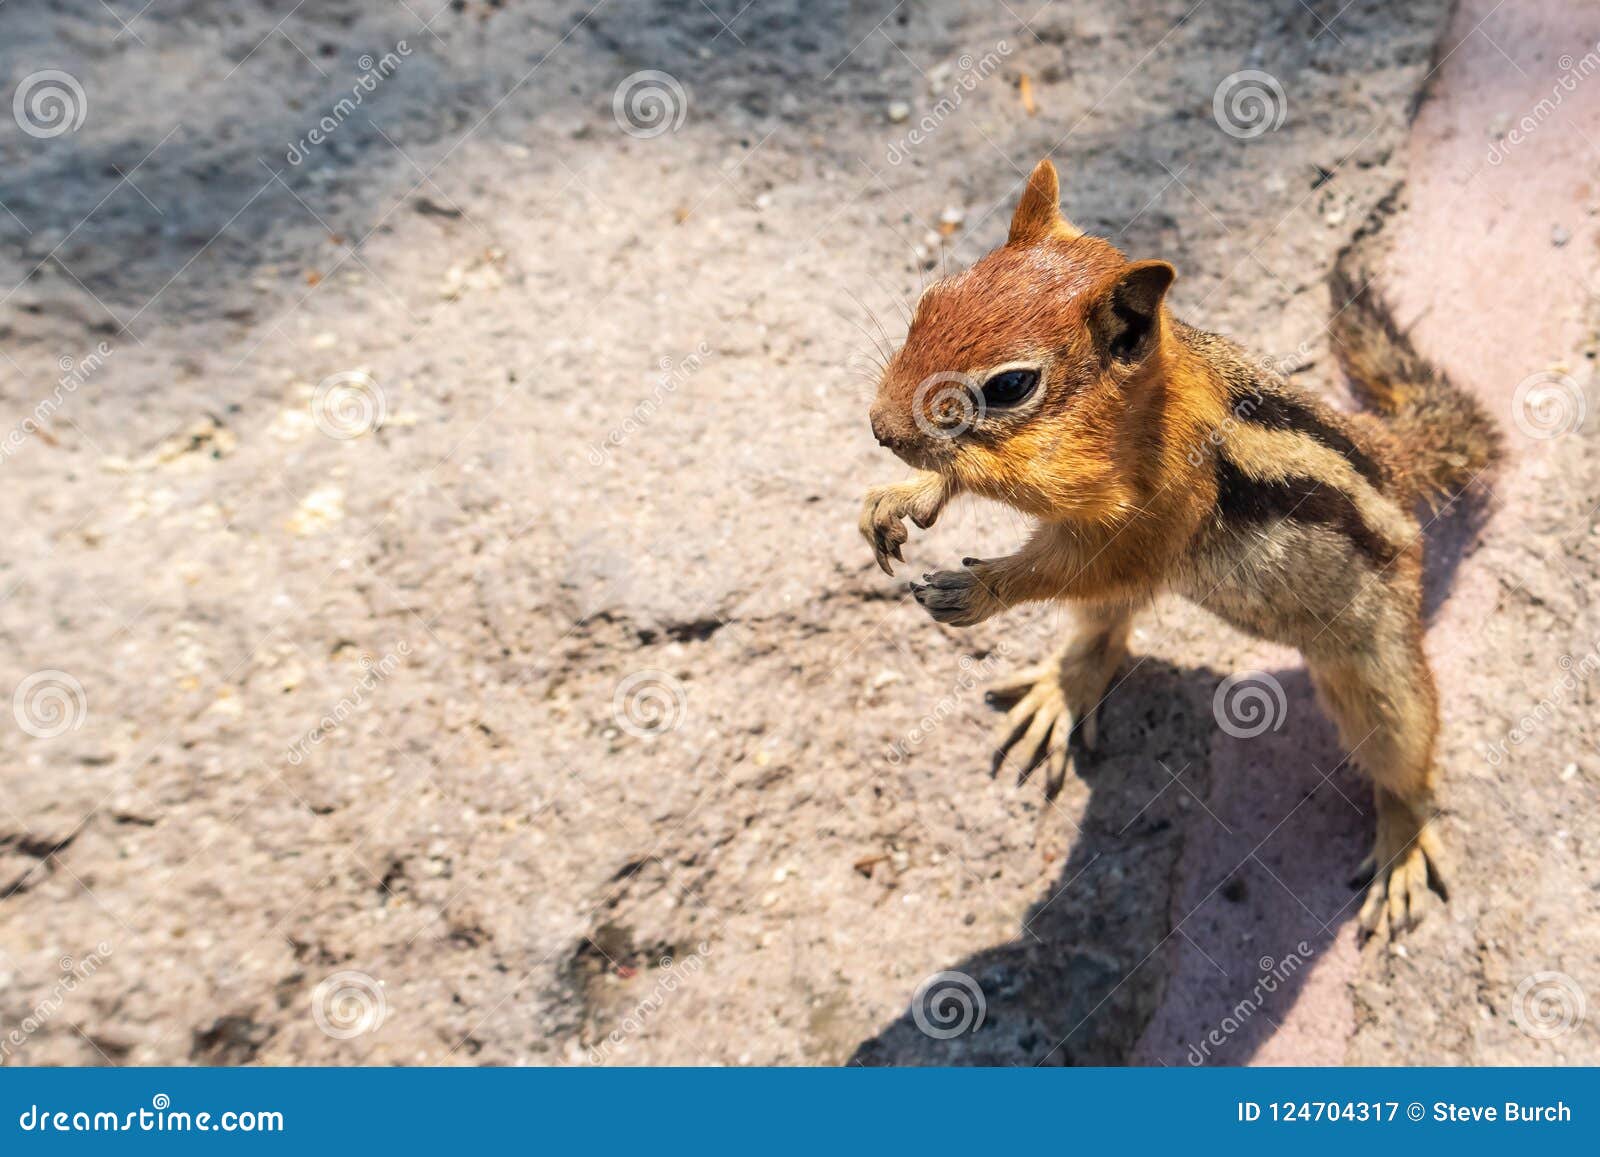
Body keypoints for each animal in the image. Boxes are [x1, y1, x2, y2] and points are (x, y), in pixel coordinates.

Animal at [859, 159, 1501, 939]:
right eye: (932, 298)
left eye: (1010, 384)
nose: (880, 427)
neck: (1132, 420)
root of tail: (1391, 455)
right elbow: (971, 482)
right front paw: (901, 496)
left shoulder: (1150, 519)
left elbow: (1076, 562)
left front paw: (978, 588)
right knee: (1102, 633)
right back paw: (1060, 689)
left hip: (1375, 656)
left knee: (1403, 747)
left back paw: (1403, 843)